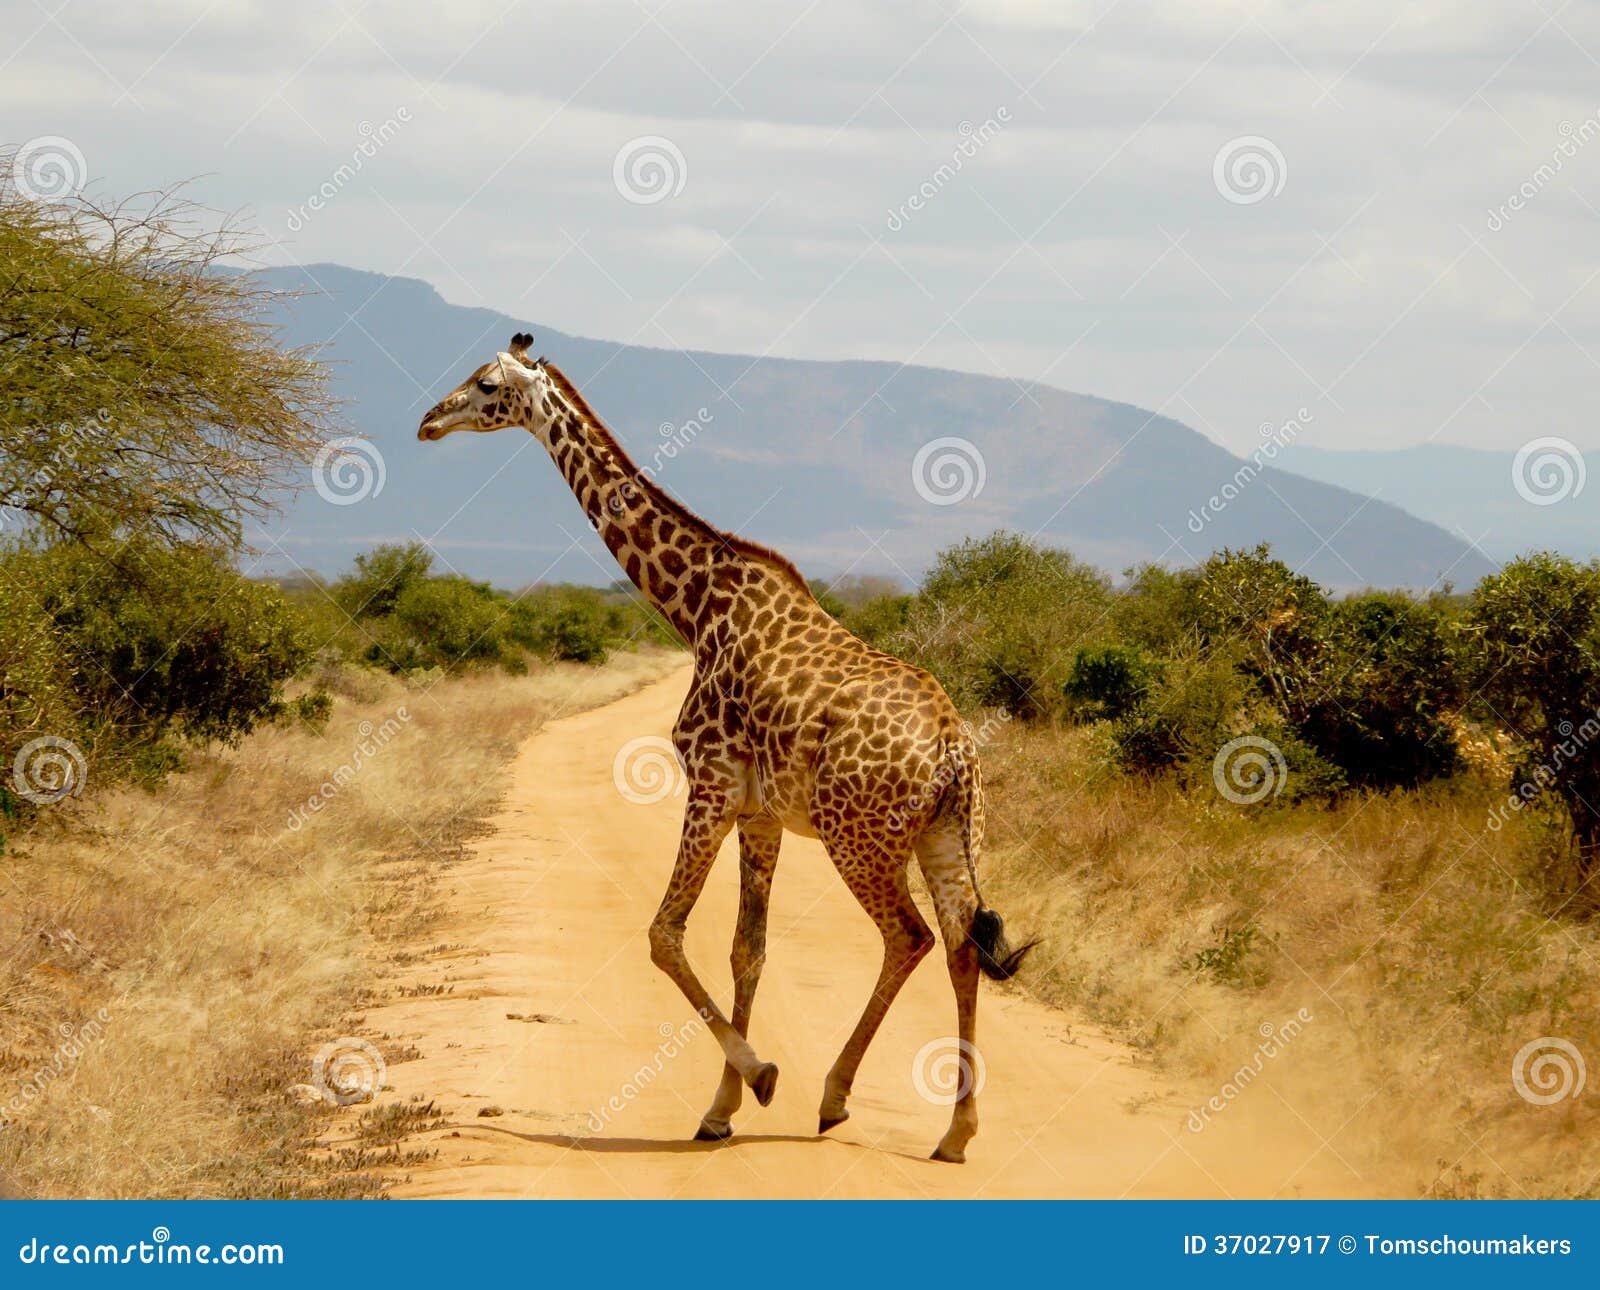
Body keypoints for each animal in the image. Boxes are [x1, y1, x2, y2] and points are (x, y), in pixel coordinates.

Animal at [418, 334, 1033, 1162]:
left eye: (485, 384)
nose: (428, 421)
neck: (696, 609)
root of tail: (952, 749)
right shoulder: (759, 812)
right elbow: (749, 950)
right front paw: (720, 1109)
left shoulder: (709, 783)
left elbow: (663, 934)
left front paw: (761, 1077)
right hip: (945, 832)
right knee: (964, 942)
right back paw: (955, 1133)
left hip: (860, 838)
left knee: (909, 937)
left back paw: (835, 1097)